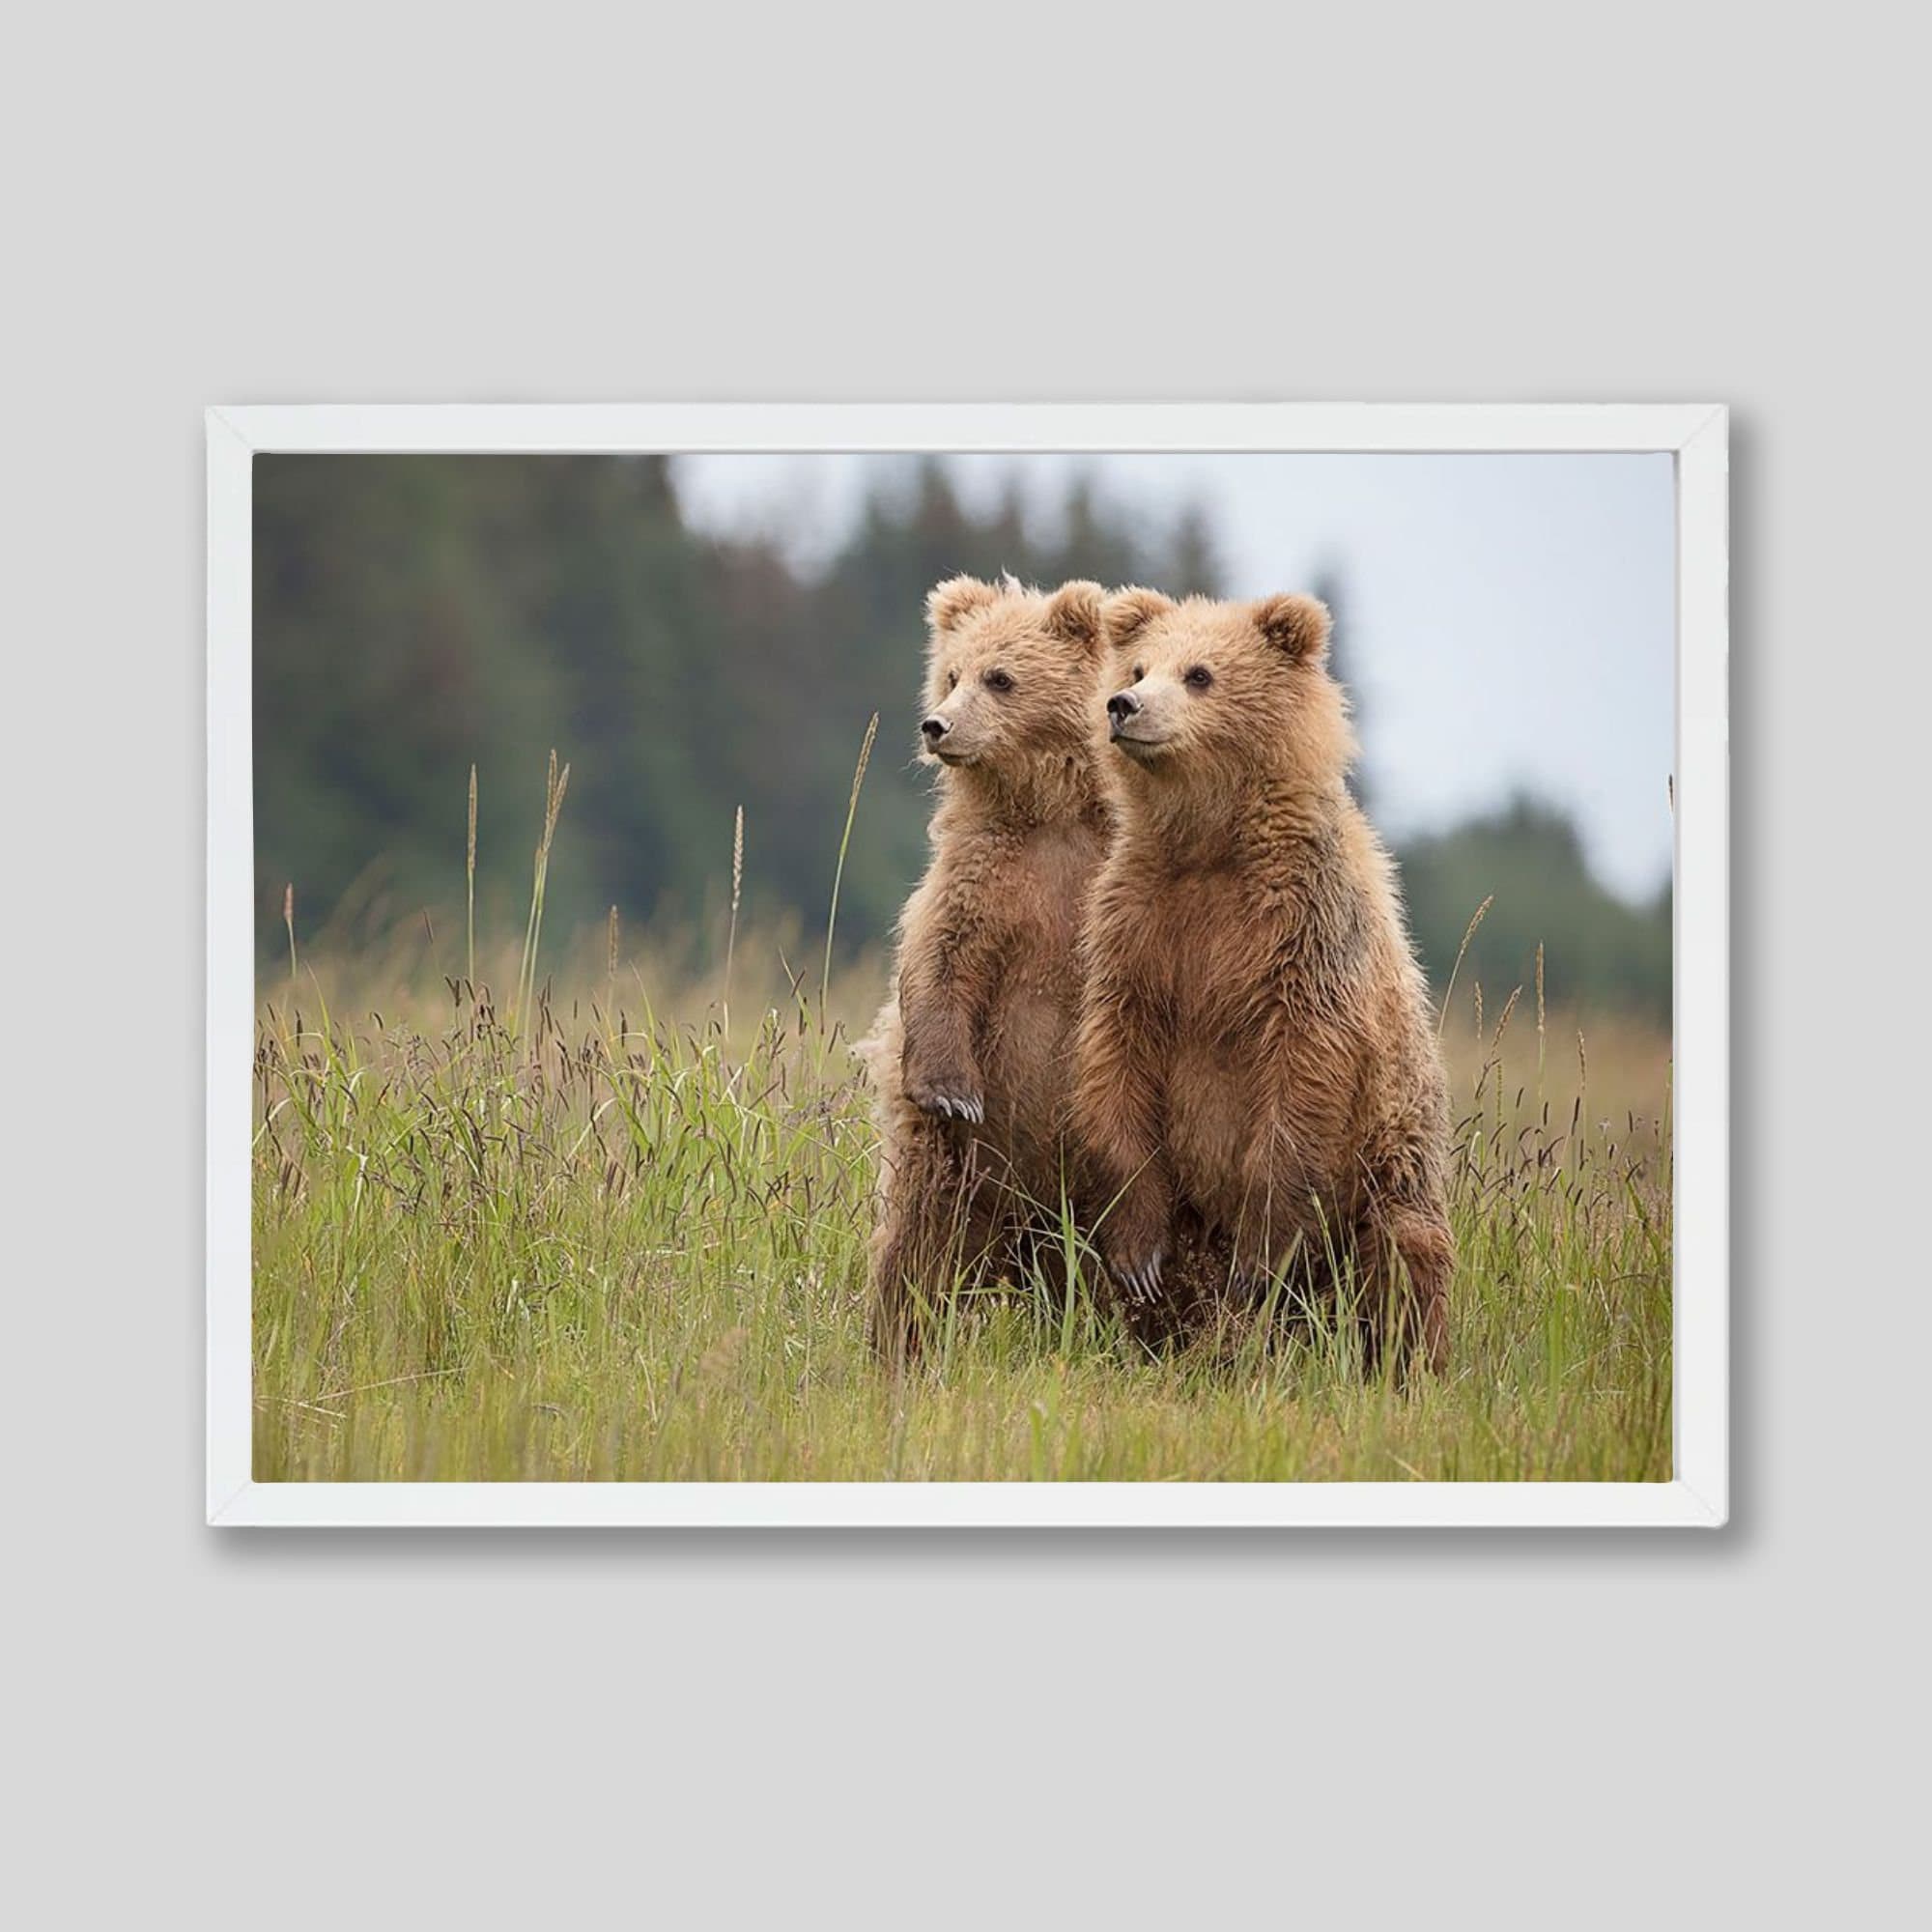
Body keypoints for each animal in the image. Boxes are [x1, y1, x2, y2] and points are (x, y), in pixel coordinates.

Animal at [865, 575, 1114, 1361]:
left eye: (1001, 677)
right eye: (950, 674)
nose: (936, 726)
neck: (1051, 813)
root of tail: (1010, 1252)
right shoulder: (982, 880)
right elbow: (938, 960)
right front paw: (954, 1092)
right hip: (948, 1171)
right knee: (915, 1256)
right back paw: (896, 1347)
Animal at [1071, 587, 1454, 1373]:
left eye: (1200, 674)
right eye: (1138, 665)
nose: (1125, 705)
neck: (1211, 842)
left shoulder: (1302, 934)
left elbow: (1303, 1078)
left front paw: (1258, 1257)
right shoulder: (1138, 926)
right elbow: (1115, 1056)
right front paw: (1137, 1259)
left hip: (1389, 1173)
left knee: (1401, 1259)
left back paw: (1398, 1361)